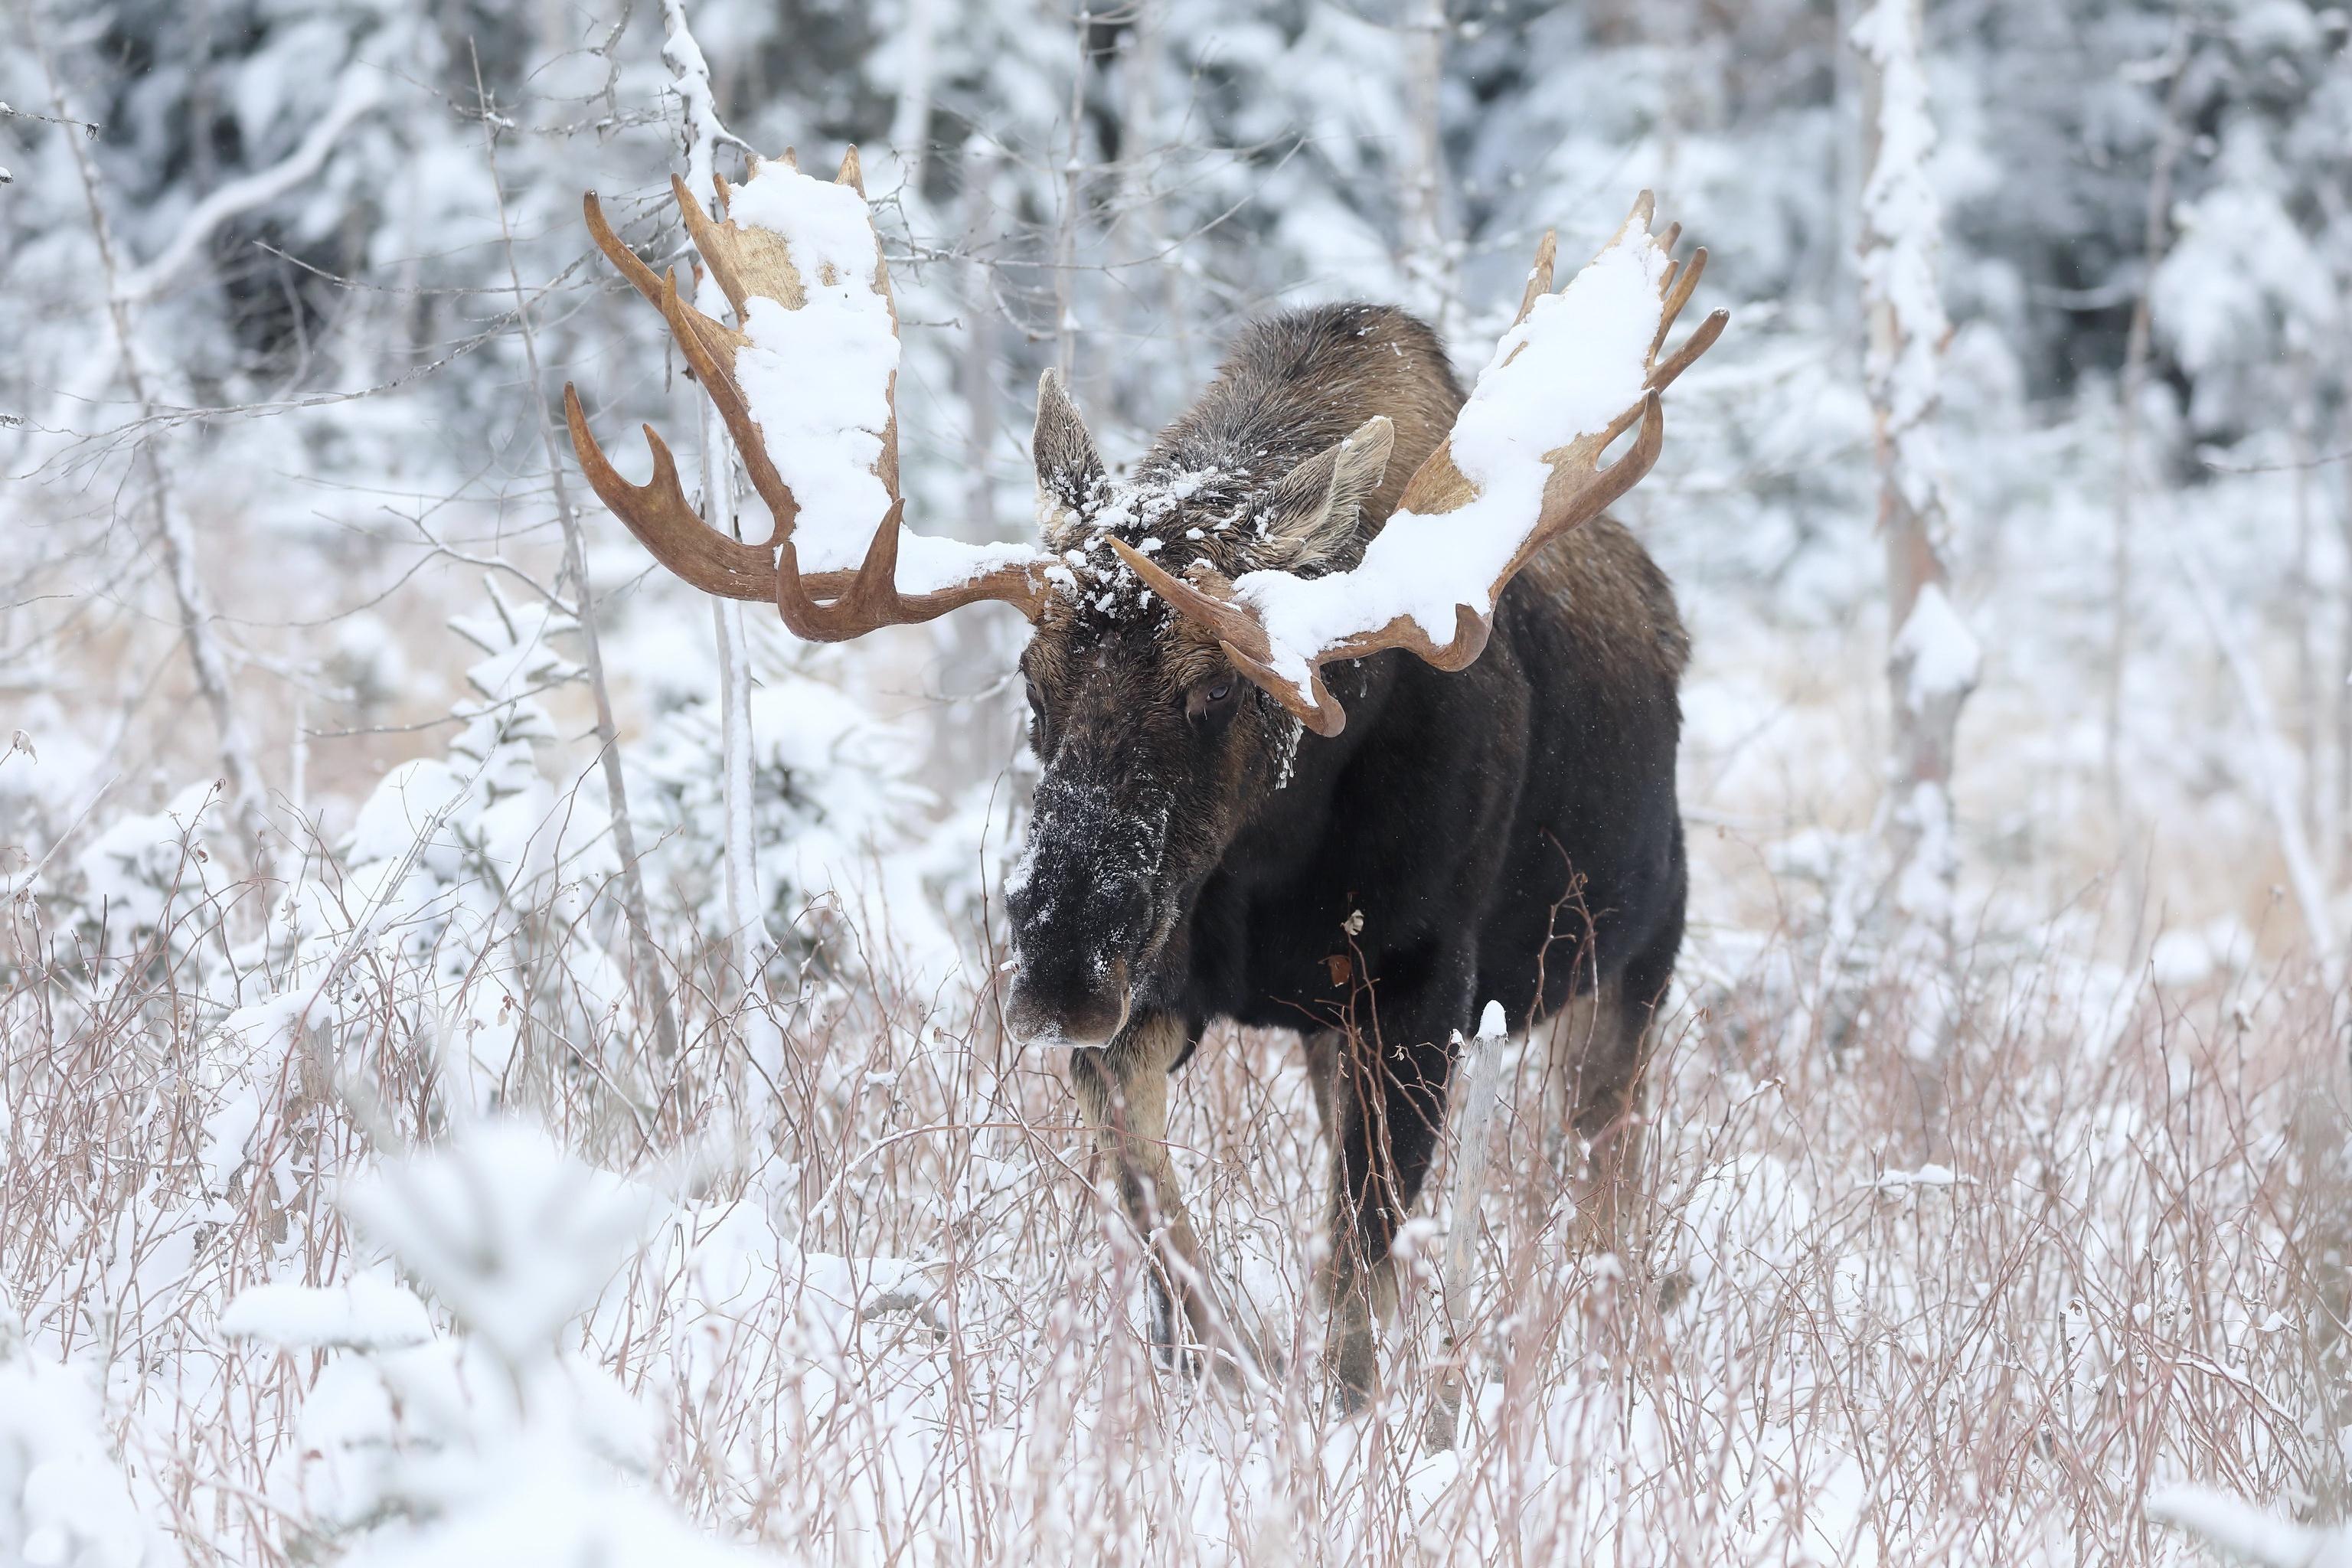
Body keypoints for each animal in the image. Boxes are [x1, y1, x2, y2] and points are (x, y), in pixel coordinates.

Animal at [564, 147, 1724, 1404]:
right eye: (1030, 686)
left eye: (1219, 694)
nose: (1055, 968)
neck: (1277, 862)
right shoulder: (1162, 986)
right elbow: (1153, 1205)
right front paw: (1226, 1362)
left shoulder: (1421, 983)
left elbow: (1359, 1278)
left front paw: (1344, 1413)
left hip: (1633, 955)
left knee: (1602, 1171)